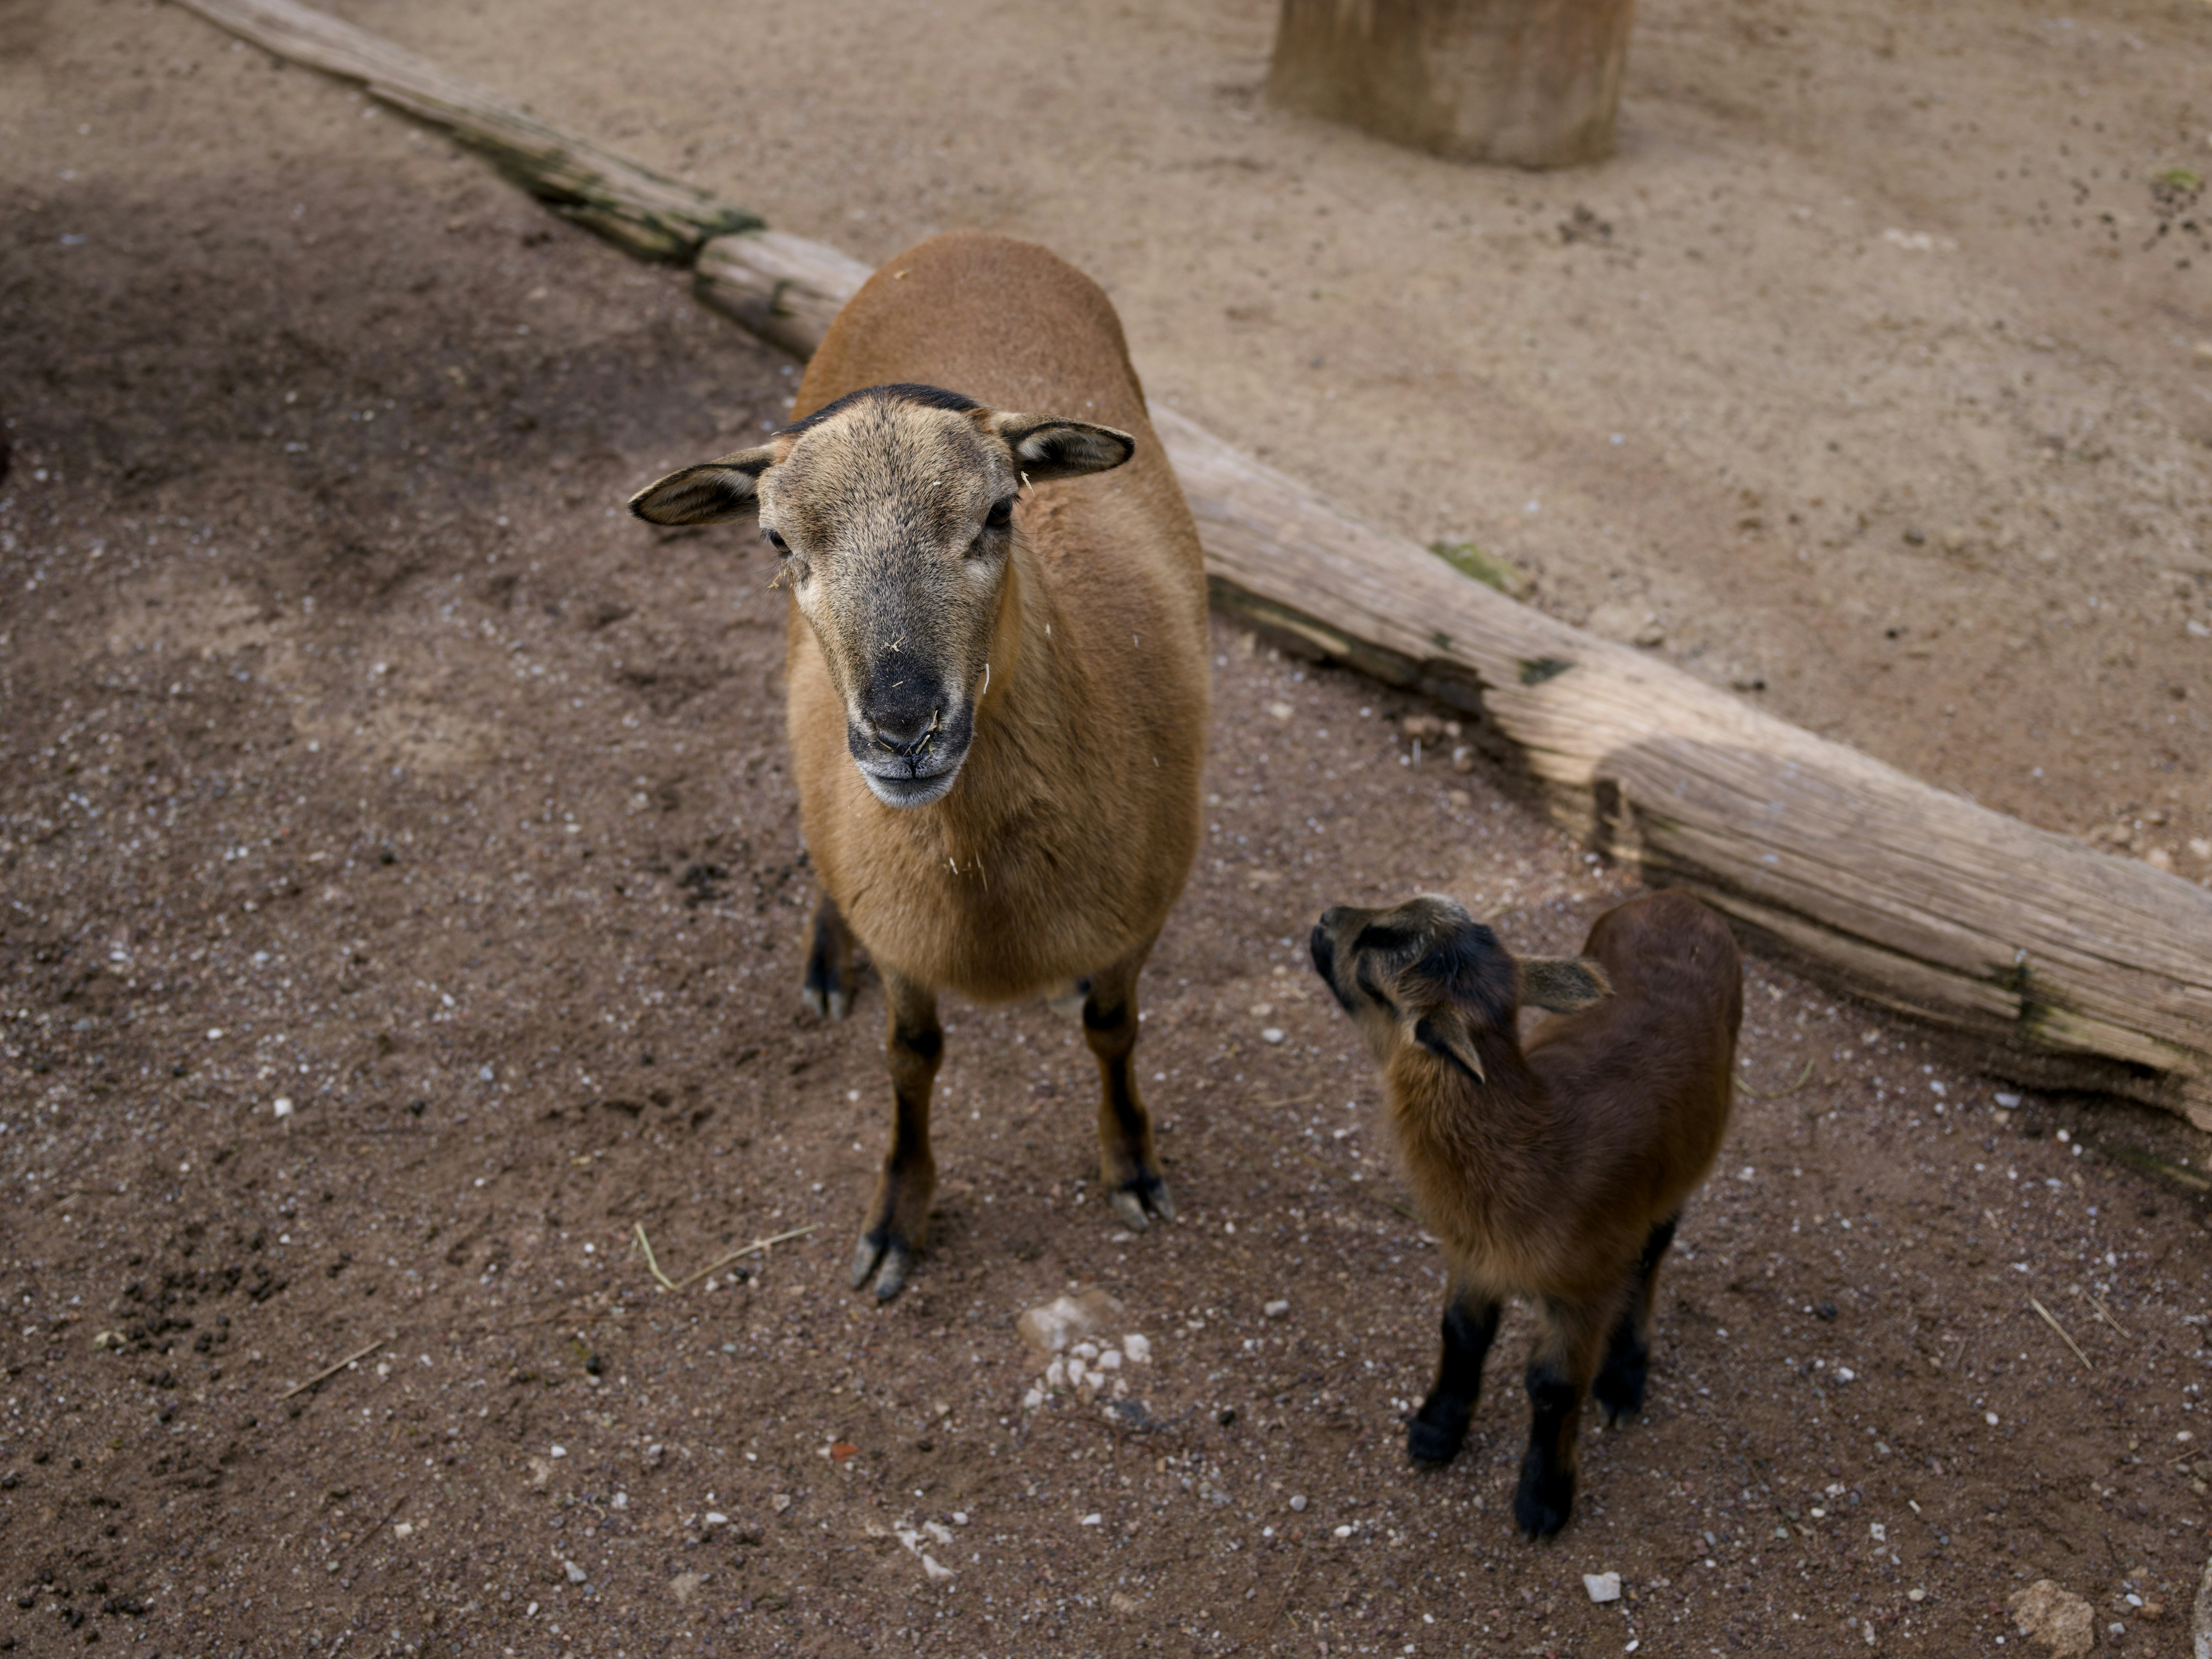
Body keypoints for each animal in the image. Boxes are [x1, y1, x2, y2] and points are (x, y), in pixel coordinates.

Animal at [628, 232, 1209, 1300]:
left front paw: (1133, 1160)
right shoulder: (904, 938)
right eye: (776, 538)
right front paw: (896, 1216)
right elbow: (910, 1060)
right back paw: (827, 955)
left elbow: (1114, 1031)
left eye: (999, 512)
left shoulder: (1139, 914)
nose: (904, 730)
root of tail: (973, 238)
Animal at [1308, 888, 1740, 1537]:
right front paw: (1435, 1430)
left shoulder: (1585, 1287)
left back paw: (1623, 1378)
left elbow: (1554, 1387)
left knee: (1653, 1253)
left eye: (1371, 969)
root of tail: (1680, 898)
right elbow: (1461, 1334)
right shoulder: (1474, 1255)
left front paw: (1543, 1497)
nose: (1325, 919)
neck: (1534, 1149)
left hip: (1685, 1168)